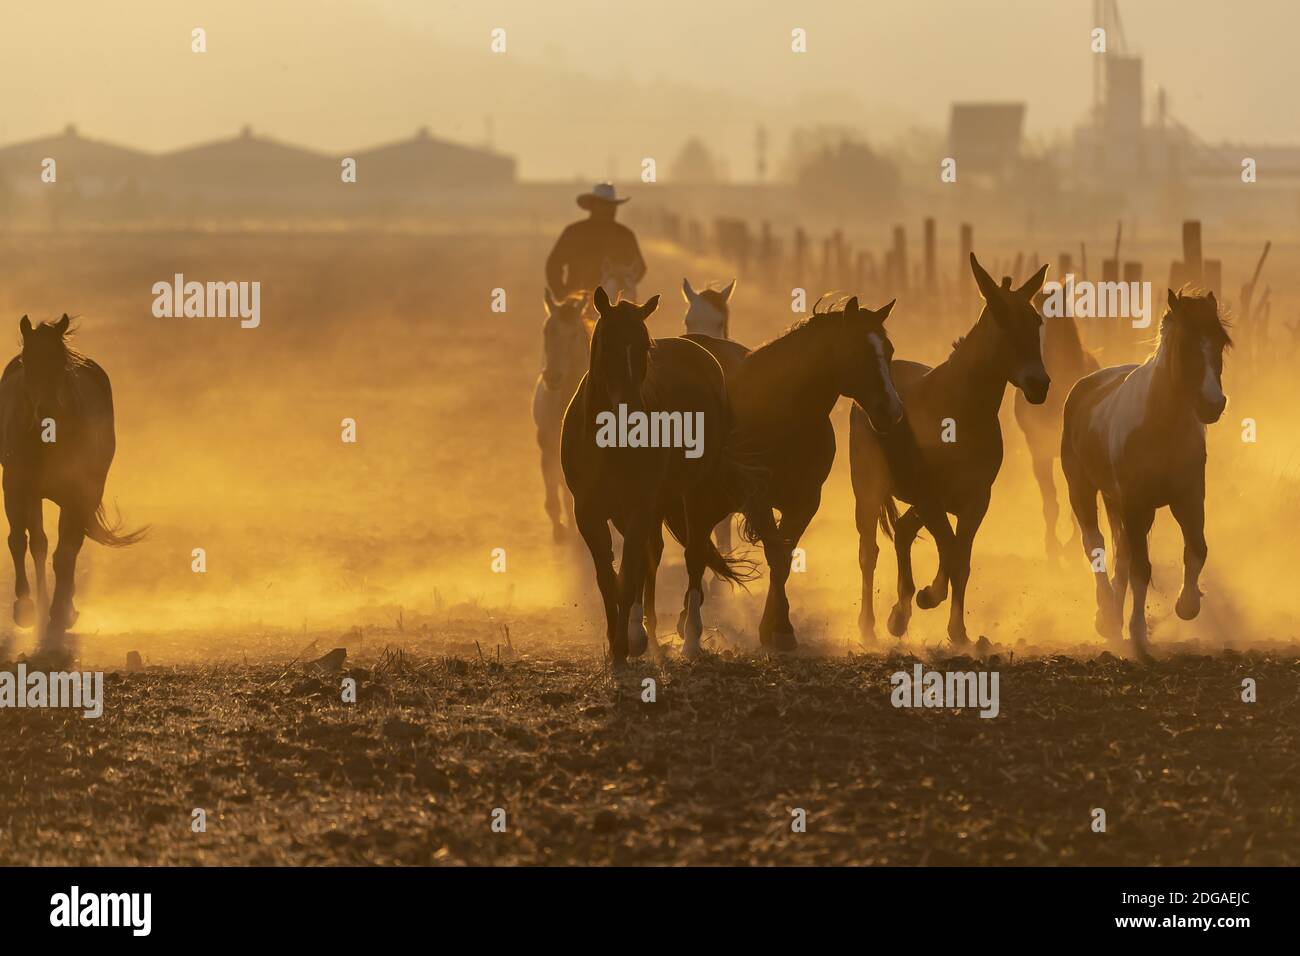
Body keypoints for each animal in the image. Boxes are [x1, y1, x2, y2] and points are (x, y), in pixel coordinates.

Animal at [0, 315, 145, 661]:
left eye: (60, 365)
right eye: (28, 361)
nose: (47, 412)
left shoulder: (77, 495)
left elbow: (65, 553)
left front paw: (60, 613)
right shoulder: (15, 488)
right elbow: (19, 541)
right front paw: (25, 608)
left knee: (67, 547)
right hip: (34, 497)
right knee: (38, 543)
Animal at [561, 287, 755, 664]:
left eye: (644, 346)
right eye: (607, 343)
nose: (634, 414)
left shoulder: (638, 506)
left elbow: (627, 575)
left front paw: (625, 644)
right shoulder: (589, 513)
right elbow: (609, 578)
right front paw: (617, 641)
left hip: (694, 494)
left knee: (693, 557)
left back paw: (689, 637)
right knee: (654, 554)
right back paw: (646, 631)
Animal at [651, 295, 904, 652]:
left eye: (889, 350)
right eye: (858, 352)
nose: (892, 410)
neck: (782, 413)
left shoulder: (806, 501)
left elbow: (783, 558)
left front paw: (776, 627)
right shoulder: (755, 498)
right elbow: (772, 552)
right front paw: (778, 628)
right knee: (691, 552)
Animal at [848, 254, 1050, 646]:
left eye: (1037, 321)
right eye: (1000, 317)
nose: (1039, 384)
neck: (961, 412)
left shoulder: (975, 500)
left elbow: (961, 557)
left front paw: (958, 631)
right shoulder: (931, 499)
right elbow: (951, 550)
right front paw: (931, 597)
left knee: (904, 533)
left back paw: (900, 614)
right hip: (868, 490)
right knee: (869, 551)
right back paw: (869, 626)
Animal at [1060, 289, 1229, 658]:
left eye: (1220, 343)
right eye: (1185, 346)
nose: (1213, 404)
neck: (1161, 424)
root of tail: (1084, 387)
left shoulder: (1188, 498)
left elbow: (1197, 549)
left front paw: (1188, 605)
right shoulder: (1136, 504)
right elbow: (1141, 568)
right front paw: (1138, 633)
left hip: (1124, 504)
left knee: (1121, 552)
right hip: (1083, 490)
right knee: (1096, 545)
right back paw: (1107, 617)